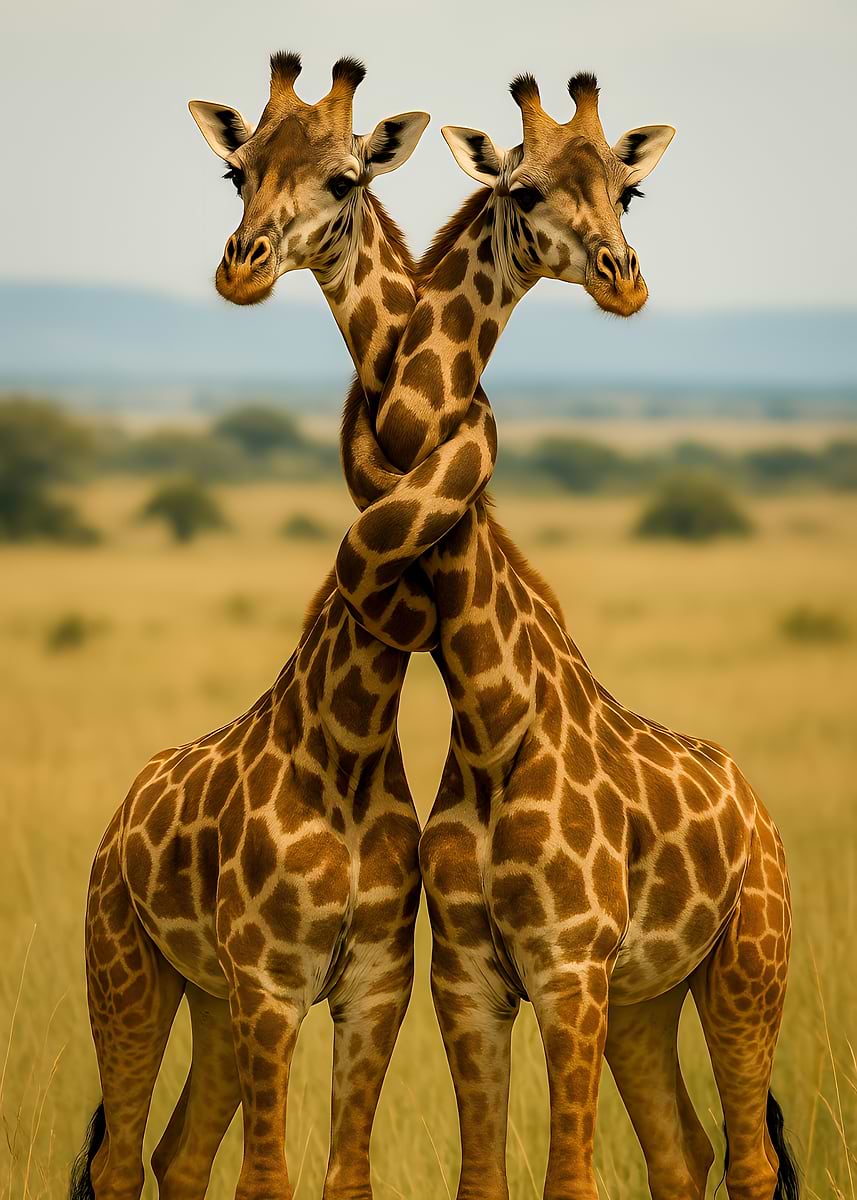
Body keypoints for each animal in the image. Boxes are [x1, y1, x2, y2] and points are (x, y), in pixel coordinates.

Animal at [71, 53, 497, 1200]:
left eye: (345, 177)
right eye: (237, 172)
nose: (241, 267)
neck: (343, 746)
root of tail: (117, 819)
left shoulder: (370, 984)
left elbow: (339, 1174)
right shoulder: (270, 983)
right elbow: (266, 1176)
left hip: (210, 1003)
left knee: (175, 1152)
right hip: (128, 976)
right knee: (120, 1157)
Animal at [329, 74, 797, 1200]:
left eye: (628, 192)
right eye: (526, 188)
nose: (624, 283)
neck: (494, 720)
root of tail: (758, 816)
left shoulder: (568, 965)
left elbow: (569, 1177)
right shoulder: (469, 973)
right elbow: (487, 1176)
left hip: (745, 969)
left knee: (751, 1156)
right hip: (646, 999)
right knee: (683, 1151)